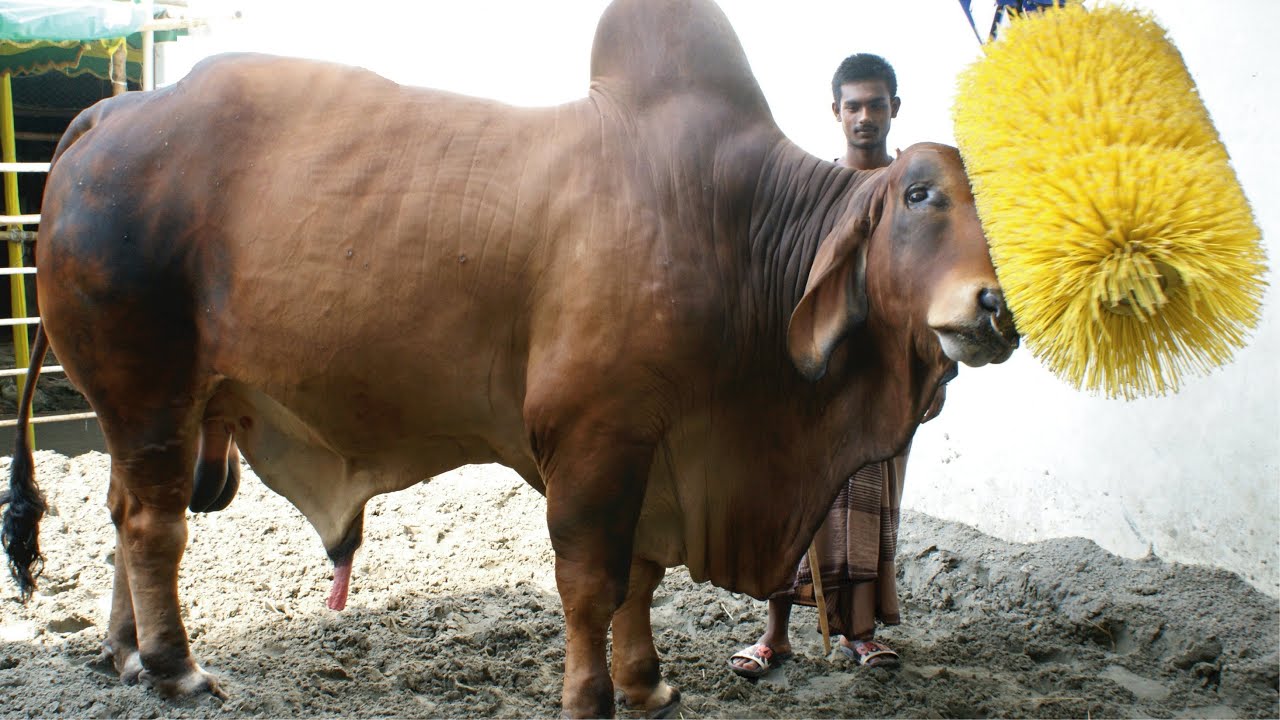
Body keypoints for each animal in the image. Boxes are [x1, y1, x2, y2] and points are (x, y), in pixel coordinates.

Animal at [1, 0, 1018, 716]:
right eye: (921, 194)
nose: (995, 306)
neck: (735, 229)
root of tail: (114, 107)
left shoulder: (658, 447)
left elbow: (640, 577)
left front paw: (647, 684)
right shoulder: (597, 435)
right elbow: (593, 582)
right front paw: (592, 698)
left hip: (160, 406)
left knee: (127, 508)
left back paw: (124, 654)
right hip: (147, 385)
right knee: (153, 523)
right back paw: (174, 668)